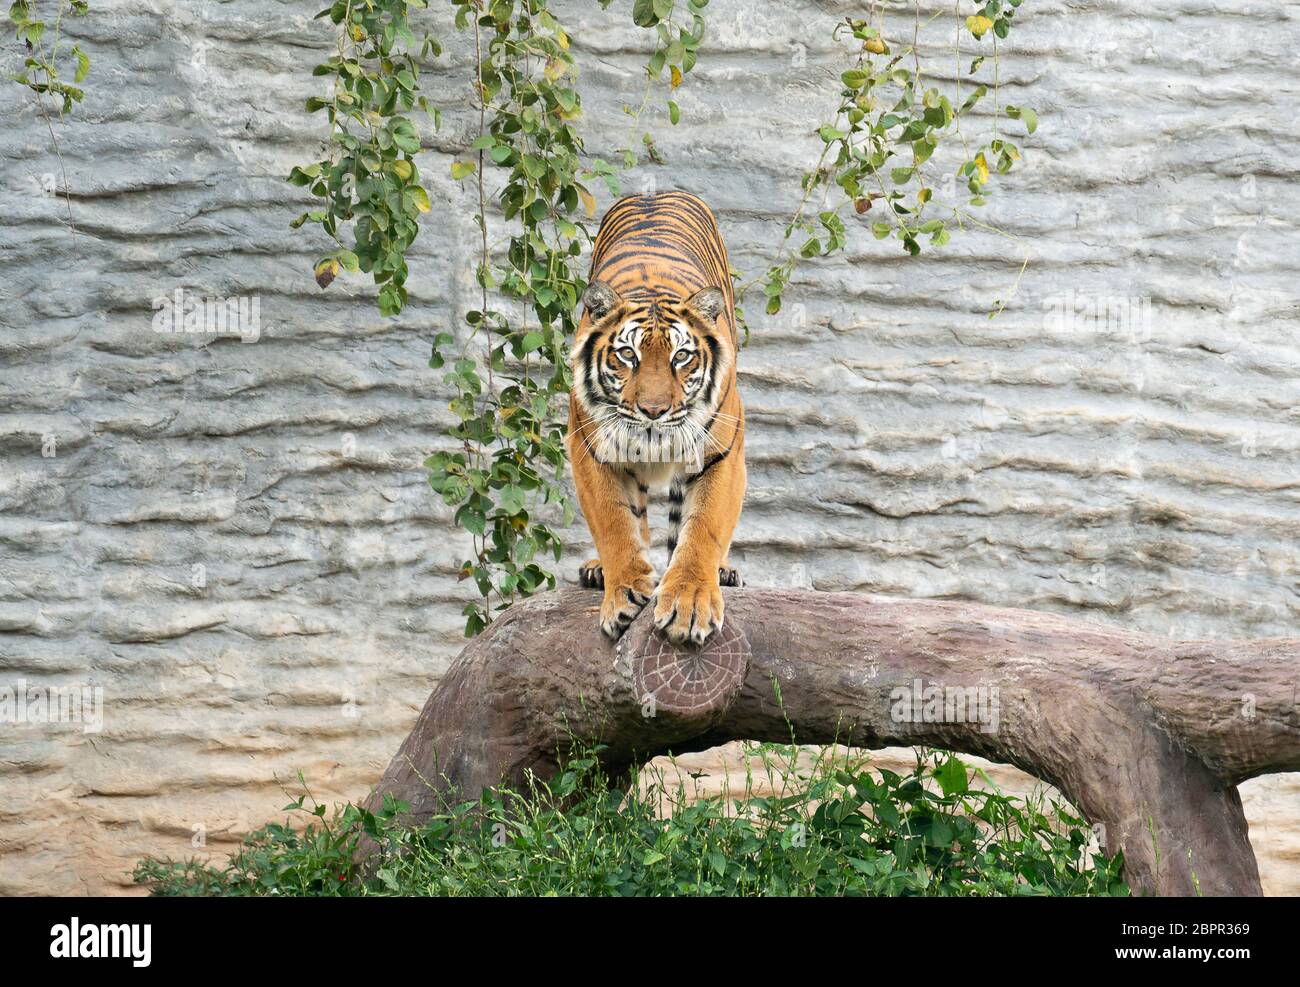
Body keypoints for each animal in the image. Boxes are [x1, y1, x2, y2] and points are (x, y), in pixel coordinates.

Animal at [567, 190, 746, 646]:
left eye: (681, 356)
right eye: (627, 355)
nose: (653, 411)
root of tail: (656, 191)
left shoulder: (720, 452)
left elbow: (704, 528)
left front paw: (690, 602)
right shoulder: (591, 448)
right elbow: (615, 522)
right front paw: (625, 590)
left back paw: (723, 571)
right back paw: (599, 570)